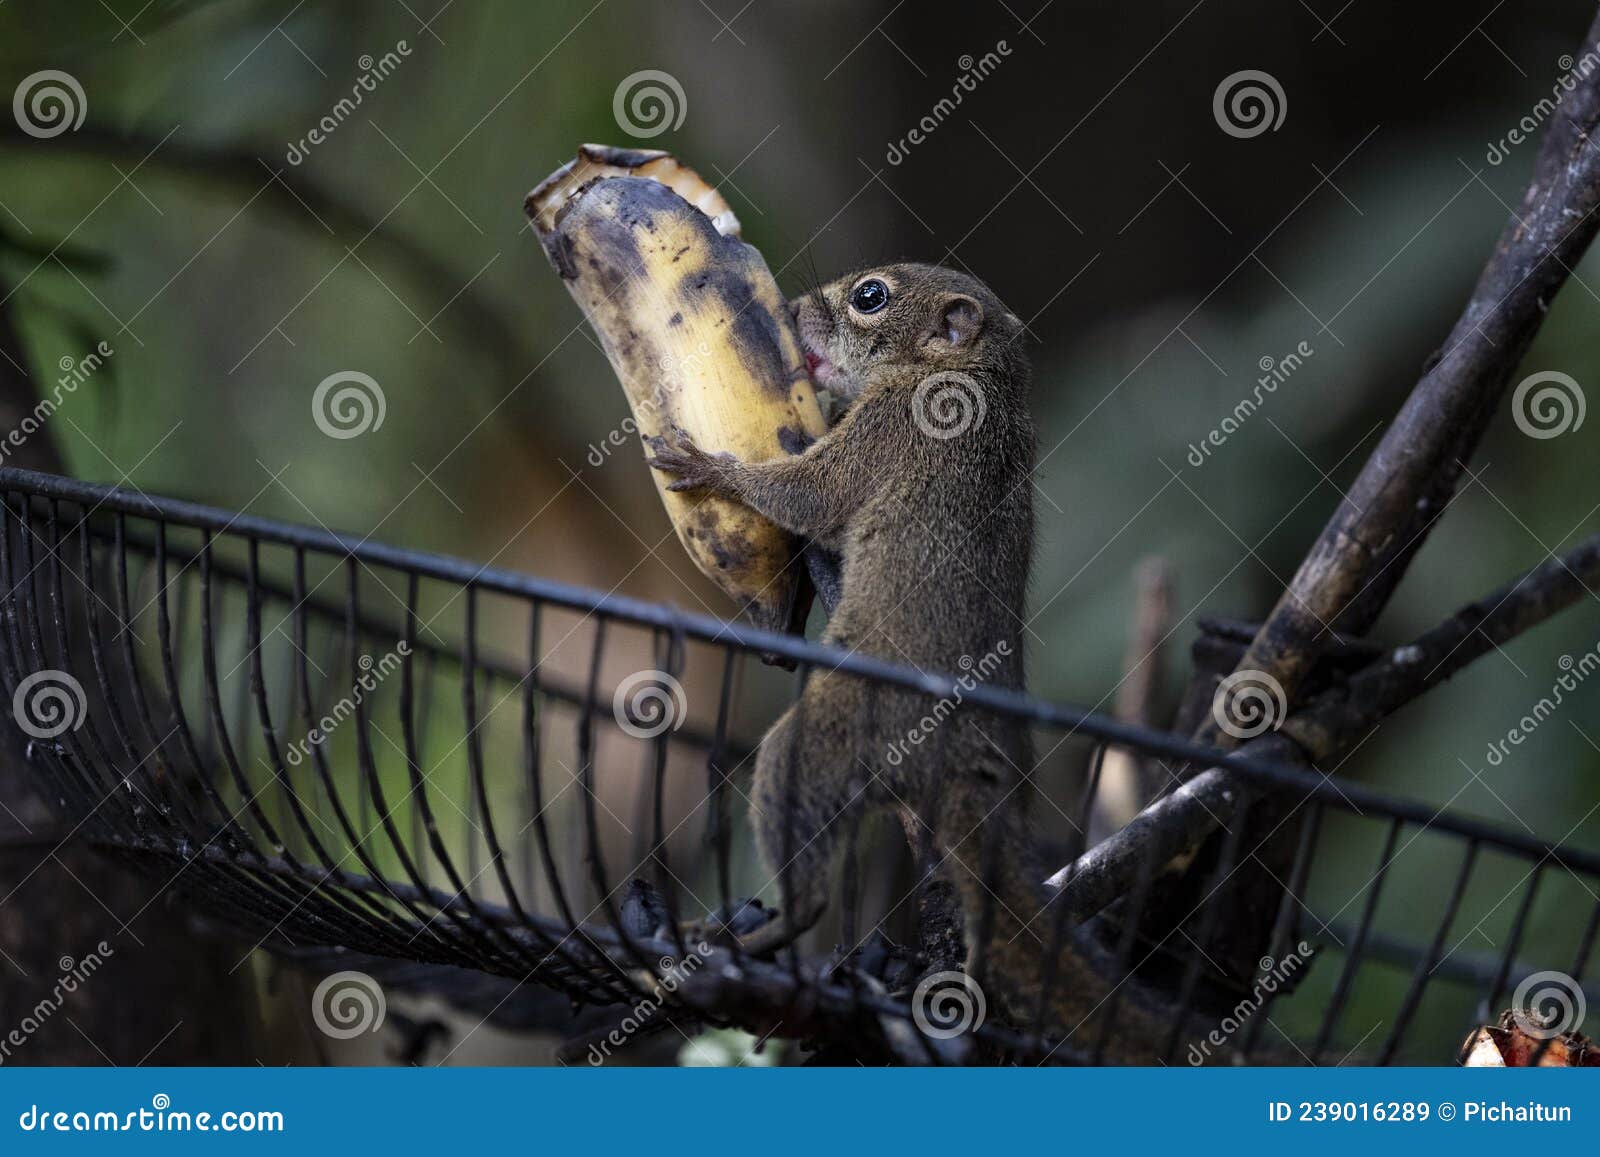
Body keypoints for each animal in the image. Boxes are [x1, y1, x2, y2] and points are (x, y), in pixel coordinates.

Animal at [646, 263, 1273, 1063]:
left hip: (819, 740)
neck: (975, 380)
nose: (792, 306)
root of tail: (972, 765)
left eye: (871, 295)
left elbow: (806, 497)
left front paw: (708, 466)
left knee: (809, 885)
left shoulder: (889, 431)